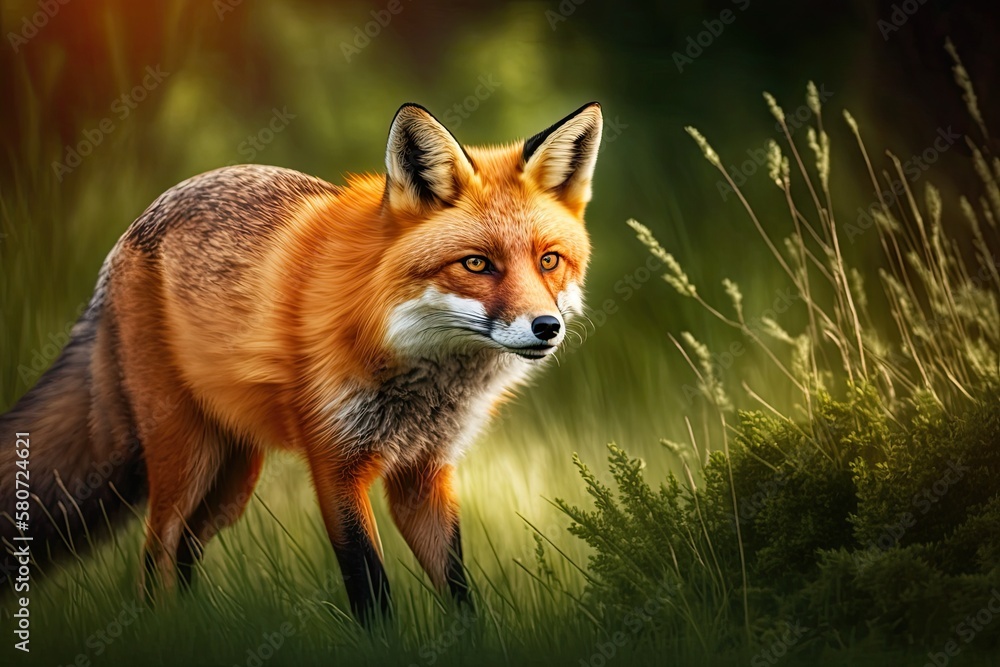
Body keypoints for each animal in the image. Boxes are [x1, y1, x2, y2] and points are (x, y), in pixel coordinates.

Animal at [0, 101, 603, 621]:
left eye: (549, 261)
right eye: (477, 264)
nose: (547, 327)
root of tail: (133, 230)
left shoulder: (425, 472)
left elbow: (459, 591)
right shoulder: (335, 464)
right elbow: (371, 589)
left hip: (233, 475)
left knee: (186, 549)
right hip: (185, 454)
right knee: (156, 553)